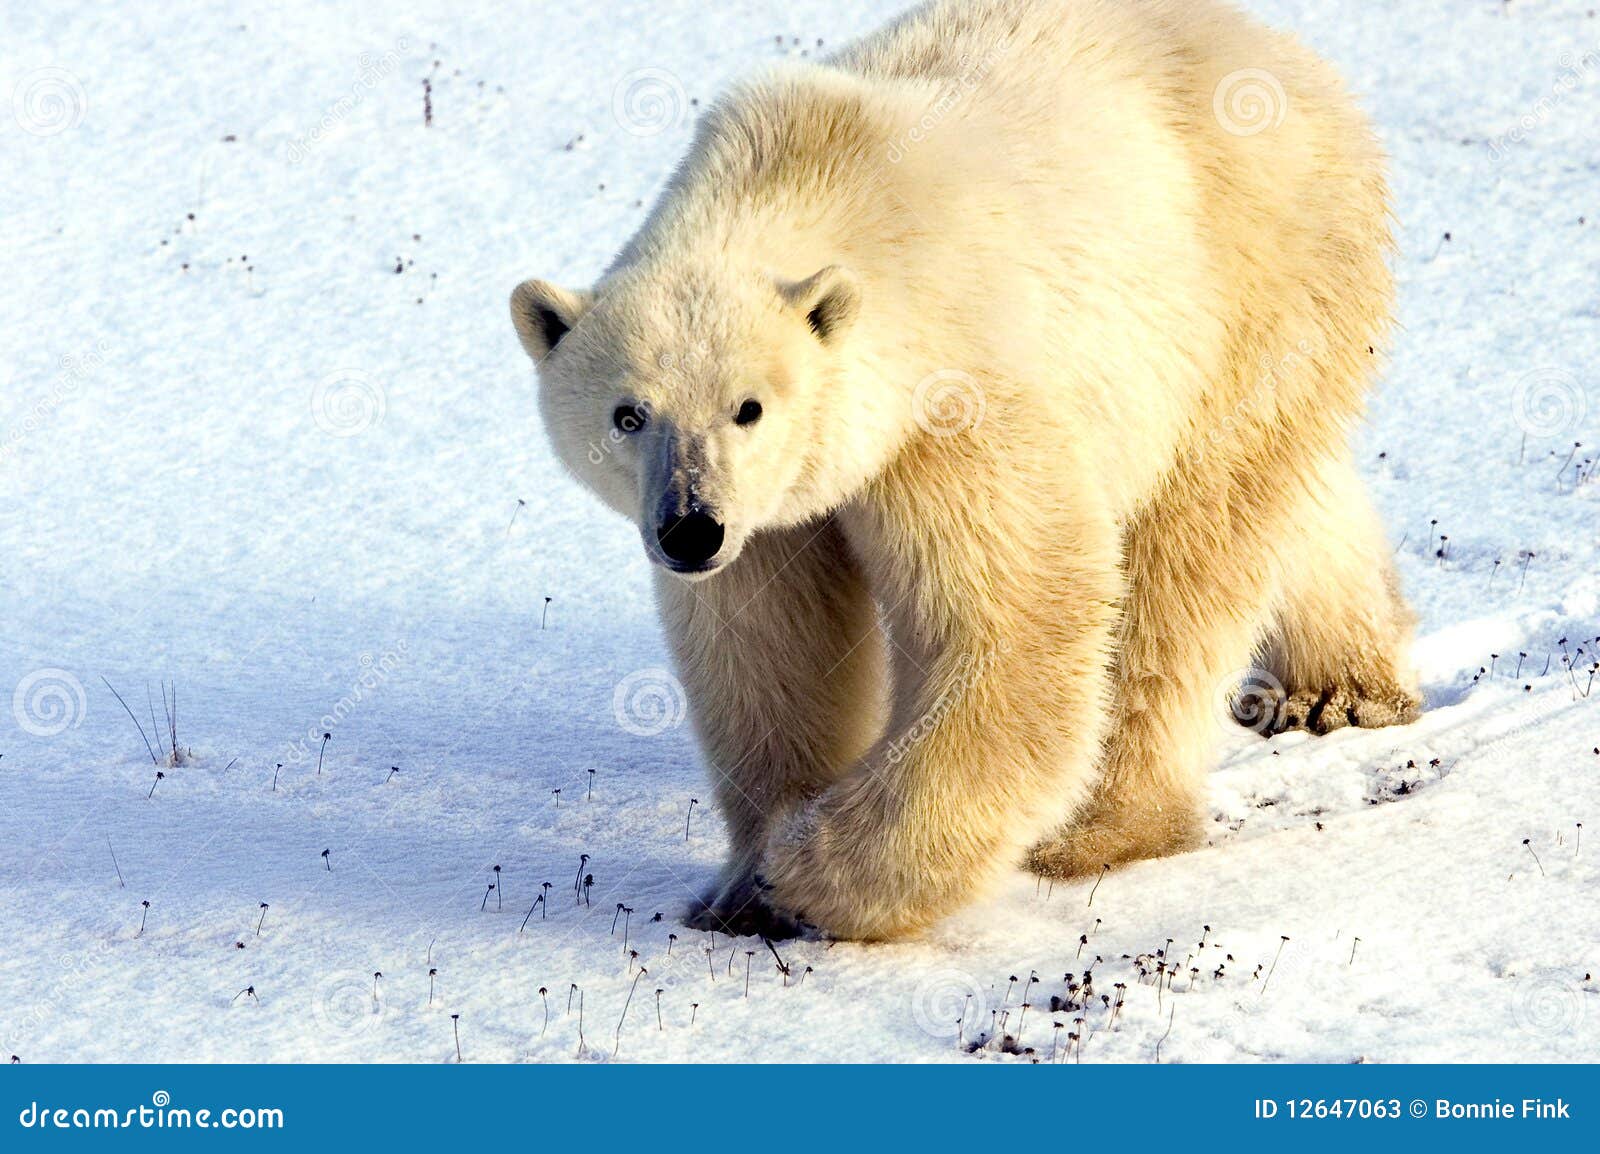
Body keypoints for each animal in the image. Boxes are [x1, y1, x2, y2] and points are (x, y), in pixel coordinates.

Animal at [510, 0, 1421, 941]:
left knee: (1190, 553)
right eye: (628, 414)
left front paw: (811, 872)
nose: (691, 528)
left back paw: (1104, 827)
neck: (810, 179)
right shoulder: (776, 512)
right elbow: (769, 648)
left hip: (1249, 282)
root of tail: (1289, 57)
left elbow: (1014, 615)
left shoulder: (950, 399)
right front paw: (740, 888)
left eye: (748, 407)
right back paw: (1339, 689)